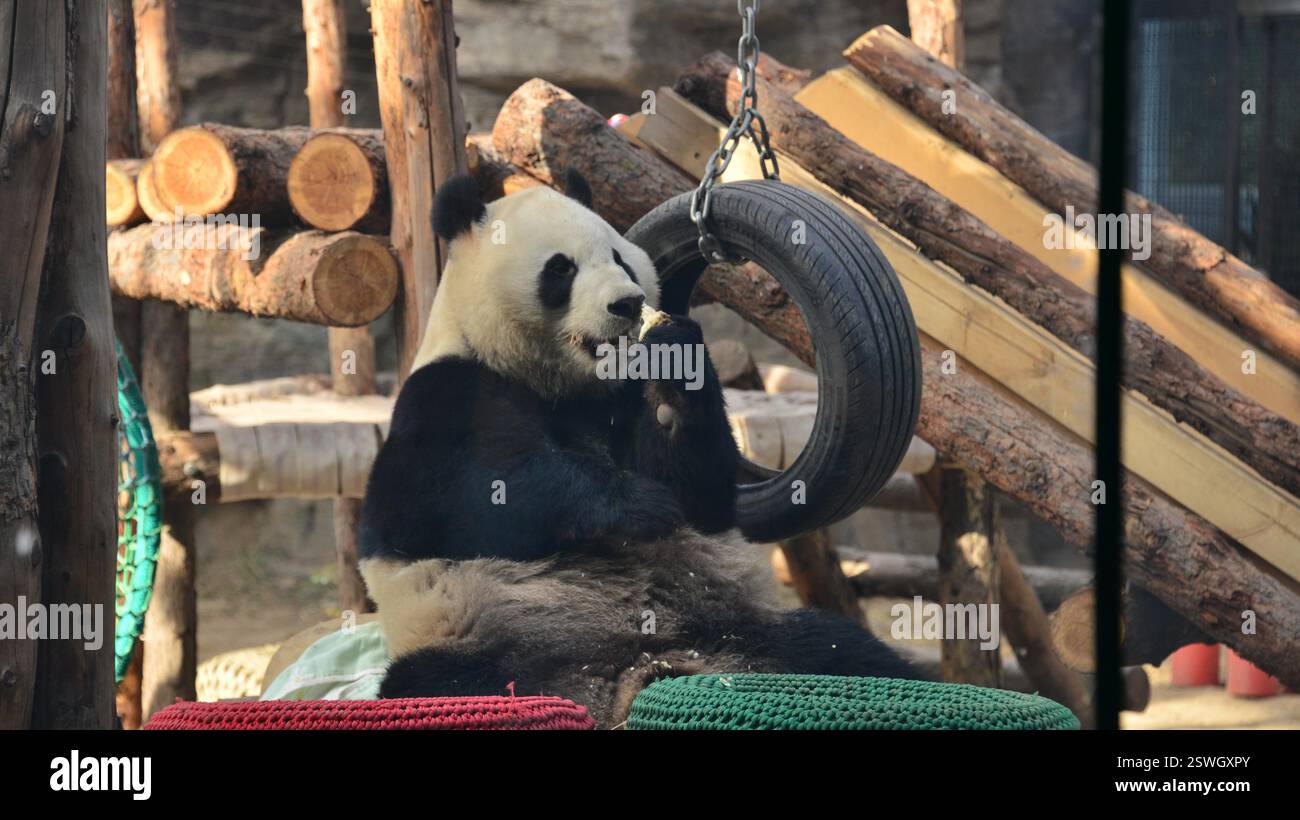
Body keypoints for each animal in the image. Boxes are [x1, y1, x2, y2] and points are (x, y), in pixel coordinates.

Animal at [357, 170, 919, 727]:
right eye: (560, 269)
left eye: (620, 257)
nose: (626, 303)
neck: (563, 383)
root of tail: (637, 673)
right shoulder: (446, 392)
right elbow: (454, 501)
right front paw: (637, 505)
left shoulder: (621, 399)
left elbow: (703, 495)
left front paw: (675, 362)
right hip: (488, 640)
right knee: (444, 686)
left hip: (741, 627)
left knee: (840, 650)